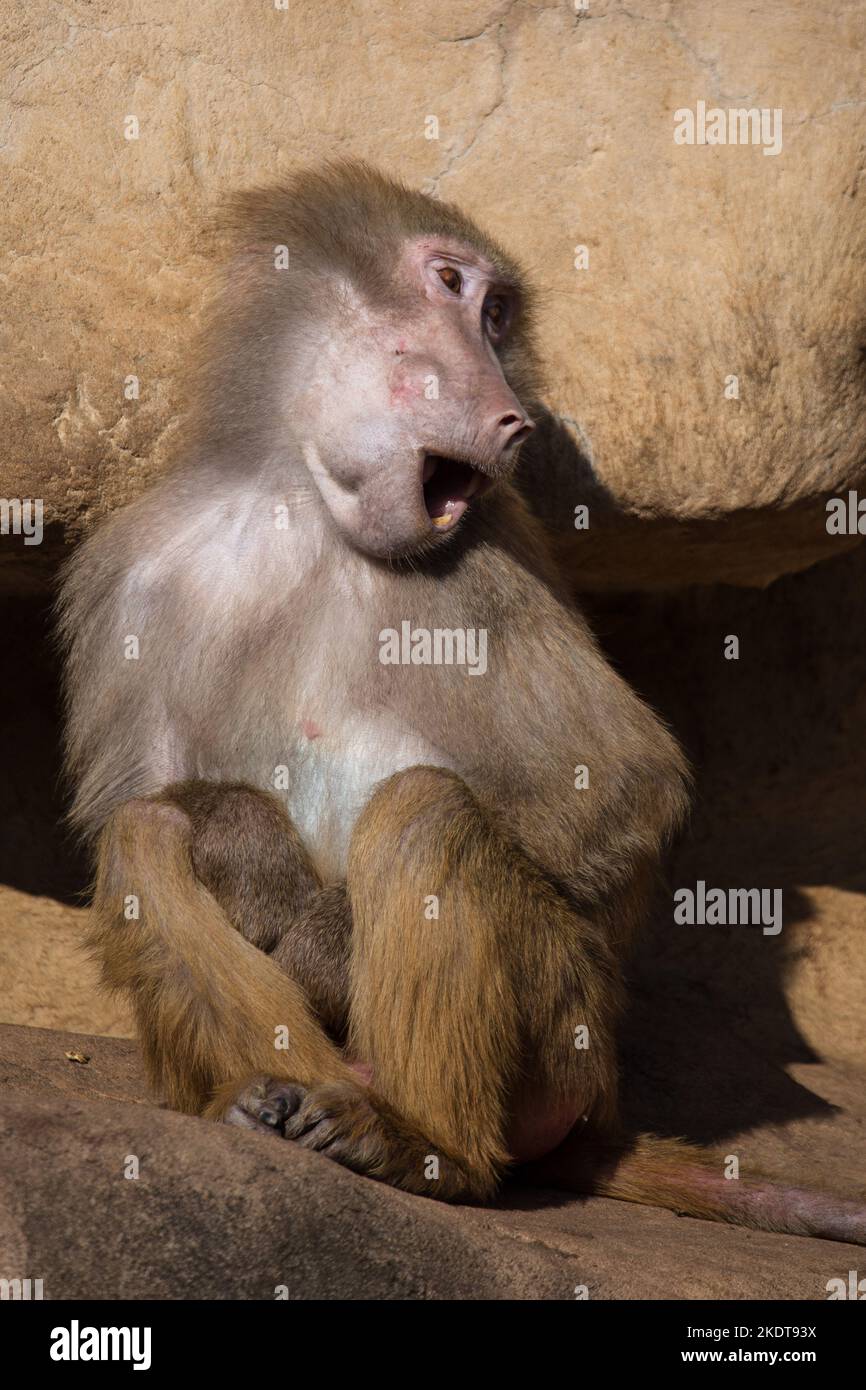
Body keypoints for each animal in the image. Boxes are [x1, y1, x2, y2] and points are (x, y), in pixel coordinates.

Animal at [58, 161, 865, 1245]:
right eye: (450, 285)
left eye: (498, 314)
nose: (515, 417)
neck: (304, 510)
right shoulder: (132, 576)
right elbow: (132, 807)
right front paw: (246, 852)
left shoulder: (478, 570)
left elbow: (620, 784)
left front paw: (324, 947)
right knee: (146, 837)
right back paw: (262, 1099)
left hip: (565, 1034)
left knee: (426, 814)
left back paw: (413, 1139)